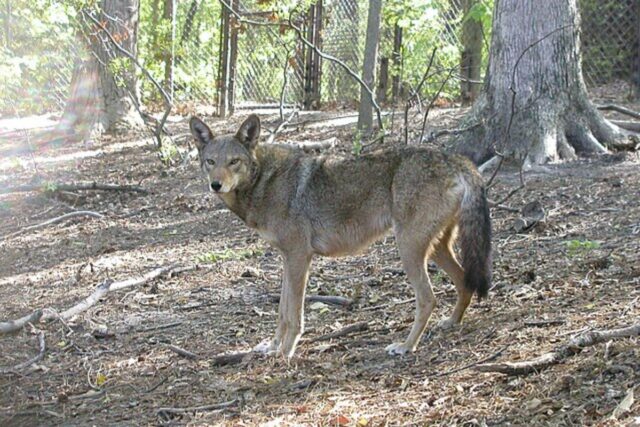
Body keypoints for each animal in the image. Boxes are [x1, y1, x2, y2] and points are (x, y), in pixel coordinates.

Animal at [190, 114, 491, 358]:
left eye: (234, 162)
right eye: (210, 162)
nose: (215, 185)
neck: (264, 180)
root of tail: (455, 158)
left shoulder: (299, 257)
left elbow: (294, 314)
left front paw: (286, 353)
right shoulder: (288, 259)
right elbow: (282, 312)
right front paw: (273, 347)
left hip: (408, 248)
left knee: (429, 298)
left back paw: (406, 346)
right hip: (435, 249)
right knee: (465, 282)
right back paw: (451, 323)